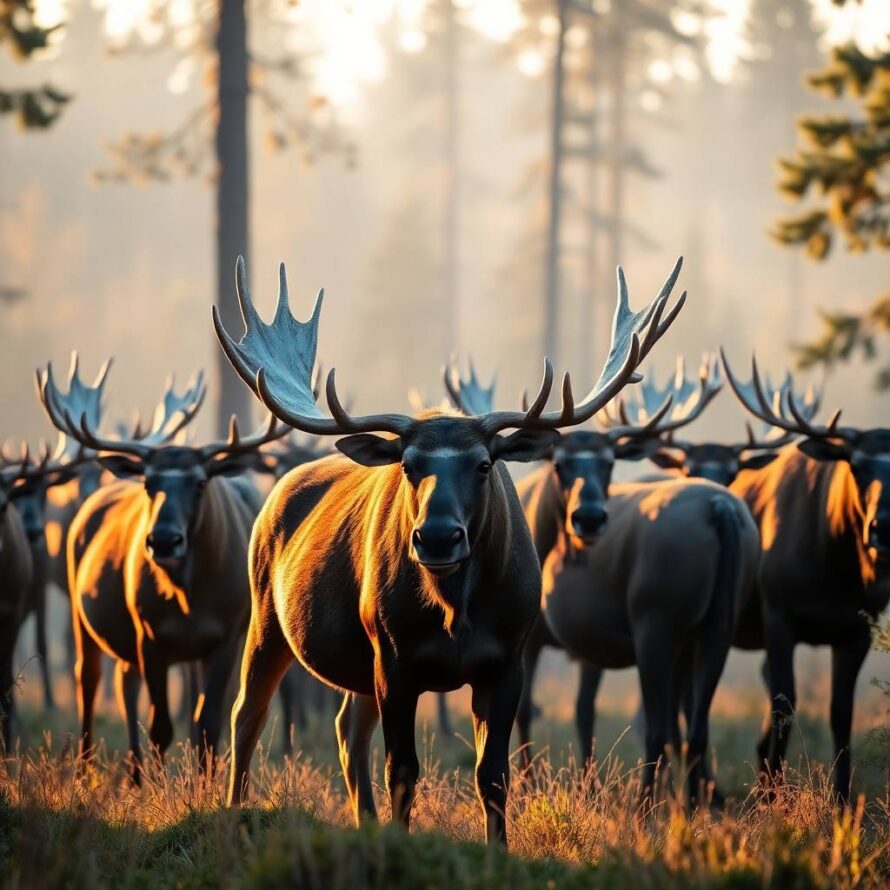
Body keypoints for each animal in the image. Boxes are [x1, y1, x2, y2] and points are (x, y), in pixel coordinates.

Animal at [37, 361, 287, 779]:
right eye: (148, 482)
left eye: (200, 481)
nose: (165, 540)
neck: (190, 599)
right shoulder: (148, 635)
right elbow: (160, 726)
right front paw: (160, 787)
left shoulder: (227, 635)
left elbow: (207, 720)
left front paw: (204, 785)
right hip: (79, 612)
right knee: (88, 681)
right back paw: (88, 773)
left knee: (125, 684)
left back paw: (134, 777)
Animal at [215, 255, 685, 846]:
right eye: (408, 464)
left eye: (484, 464)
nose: (438, 536)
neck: (454, 613)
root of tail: (275, 491)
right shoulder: (393, 660)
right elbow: (402, 770)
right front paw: (400, 842)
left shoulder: (507, 660)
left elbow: (493, 773)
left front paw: (498, 847)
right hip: (266, 615)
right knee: (246, 716)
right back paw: (233, 812)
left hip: (351, 661)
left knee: (347, 729)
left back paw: (363, 821)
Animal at [719, 351, 890, 800]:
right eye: (857, 465)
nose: (882, 525)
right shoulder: (778, 610)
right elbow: (787, 704)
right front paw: (774, 800)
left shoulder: (859, 627)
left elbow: (840, 713)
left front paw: (843, 800)